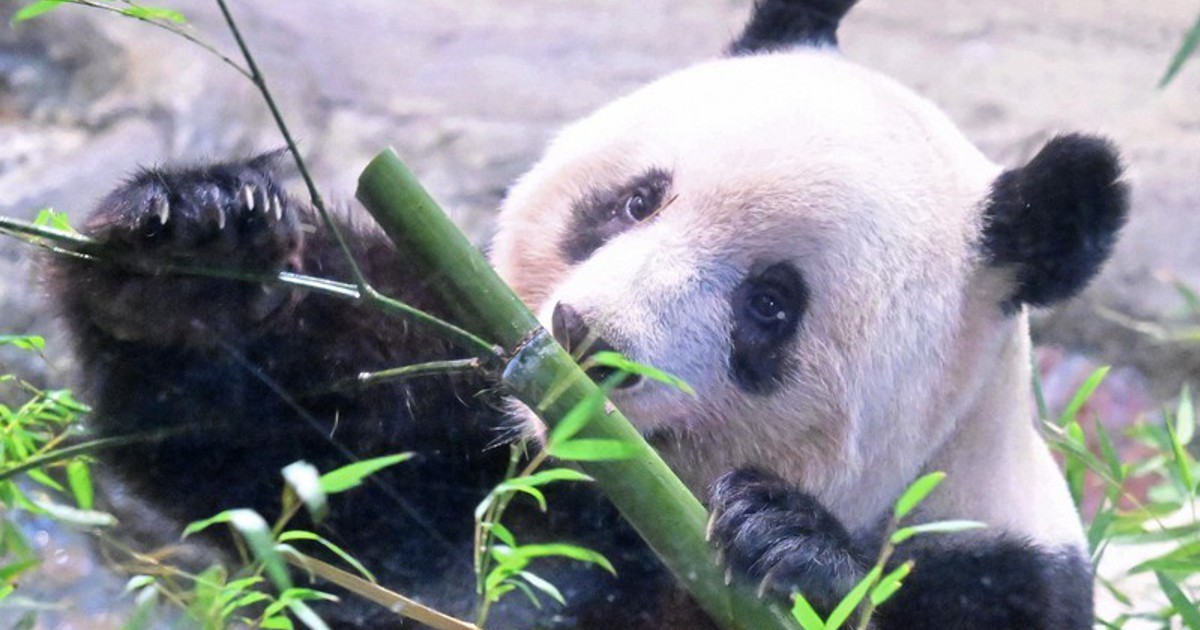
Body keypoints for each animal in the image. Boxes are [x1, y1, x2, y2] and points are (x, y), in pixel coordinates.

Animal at [47, 0, 1127, 628]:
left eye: (771, 305)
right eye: (636, 200)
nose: (586, 342)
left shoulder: (992, 565)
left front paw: (793, 548)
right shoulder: (465, 455)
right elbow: (281, 460)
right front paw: (196, 253)